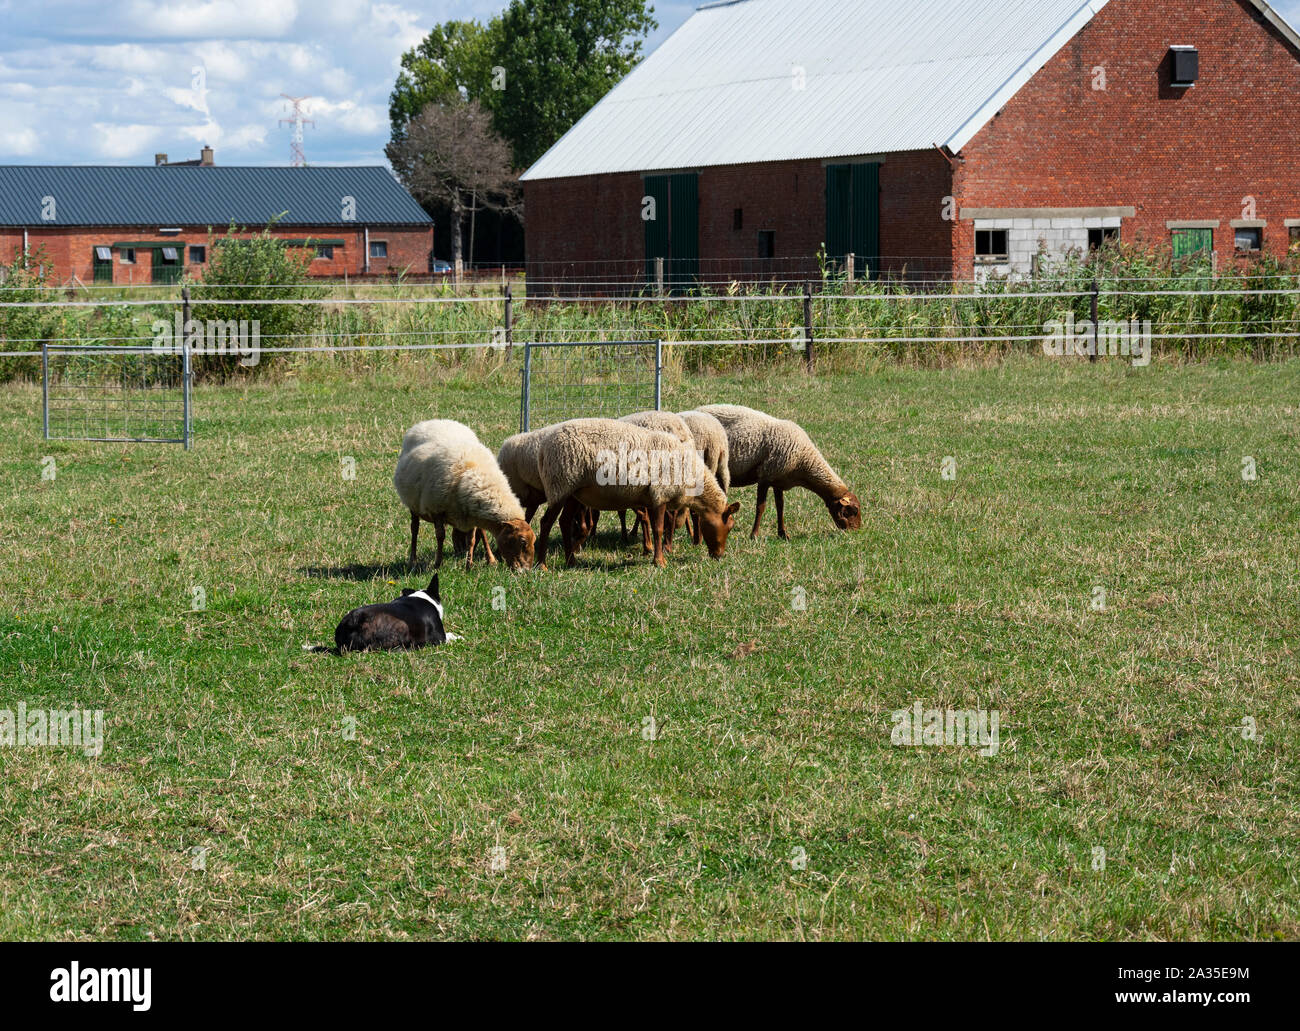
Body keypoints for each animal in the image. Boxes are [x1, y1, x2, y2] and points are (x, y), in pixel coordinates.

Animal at [394, 419, 536, 570]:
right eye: (522, 542)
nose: (526, 570)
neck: (474, 473)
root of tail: (432, 421)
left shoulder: (470, 514)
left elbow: (471, 540)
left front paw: (469, 566)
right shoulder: (436, 508)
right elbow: (440, 536)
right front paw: (438, 564)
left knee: (482, 532)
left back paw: (491, 559)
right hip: (413, 503)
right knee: (414, 529)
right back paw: (412, 560)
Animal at [531, 418, 741, 569]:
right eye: (729, 526)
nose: (719, 556)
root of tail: (542, 450)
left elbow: (653, 526)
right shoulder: (660, 494)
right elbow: (658, 529)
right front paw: (660, 562)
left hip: (573, 492)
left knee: (564, 522)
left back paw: (571, 561)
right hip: (559, 485)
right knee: (546, 523)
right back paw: (542, 564)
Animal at [697, 404, 861, 539]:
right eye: (850, 511)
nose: (856, 531)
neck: (804, 461)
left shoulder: (779, 480)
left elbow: (780, 507)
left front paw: (783, 534)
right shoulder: (765, 476)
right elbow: (761, 507)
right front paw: (754, 535)